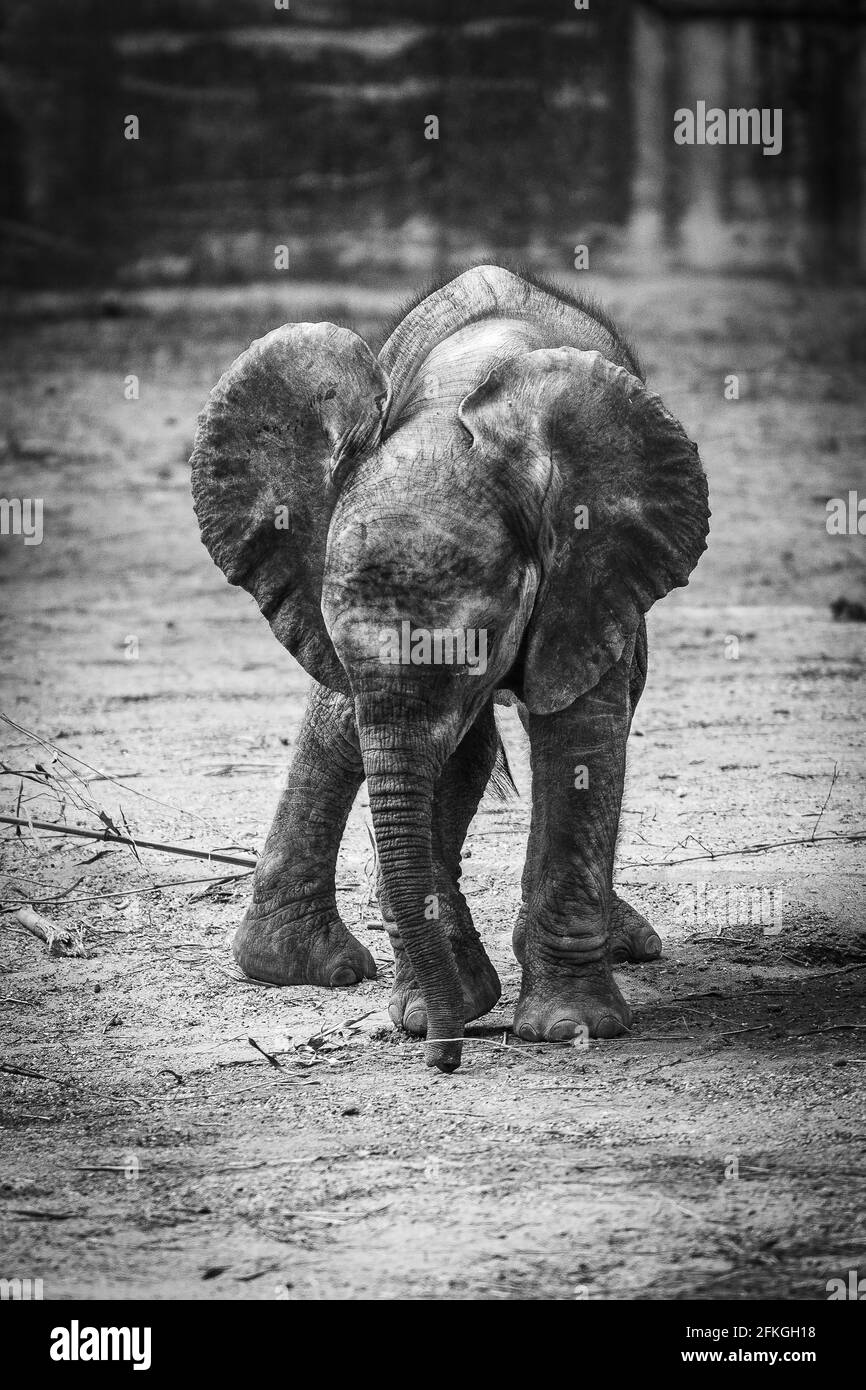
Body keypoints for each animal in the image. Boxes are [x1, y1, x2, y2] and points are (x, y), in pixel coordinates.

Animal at [191, 264, 710, 1072]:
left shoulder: (591, 567)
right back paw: (305, 969)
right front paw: (440, 1014)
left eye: (477, 648)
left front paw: (568, 1028)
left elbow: (581, 739)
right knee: (350, 729)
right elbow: (423, 759)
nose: (445, 1057)